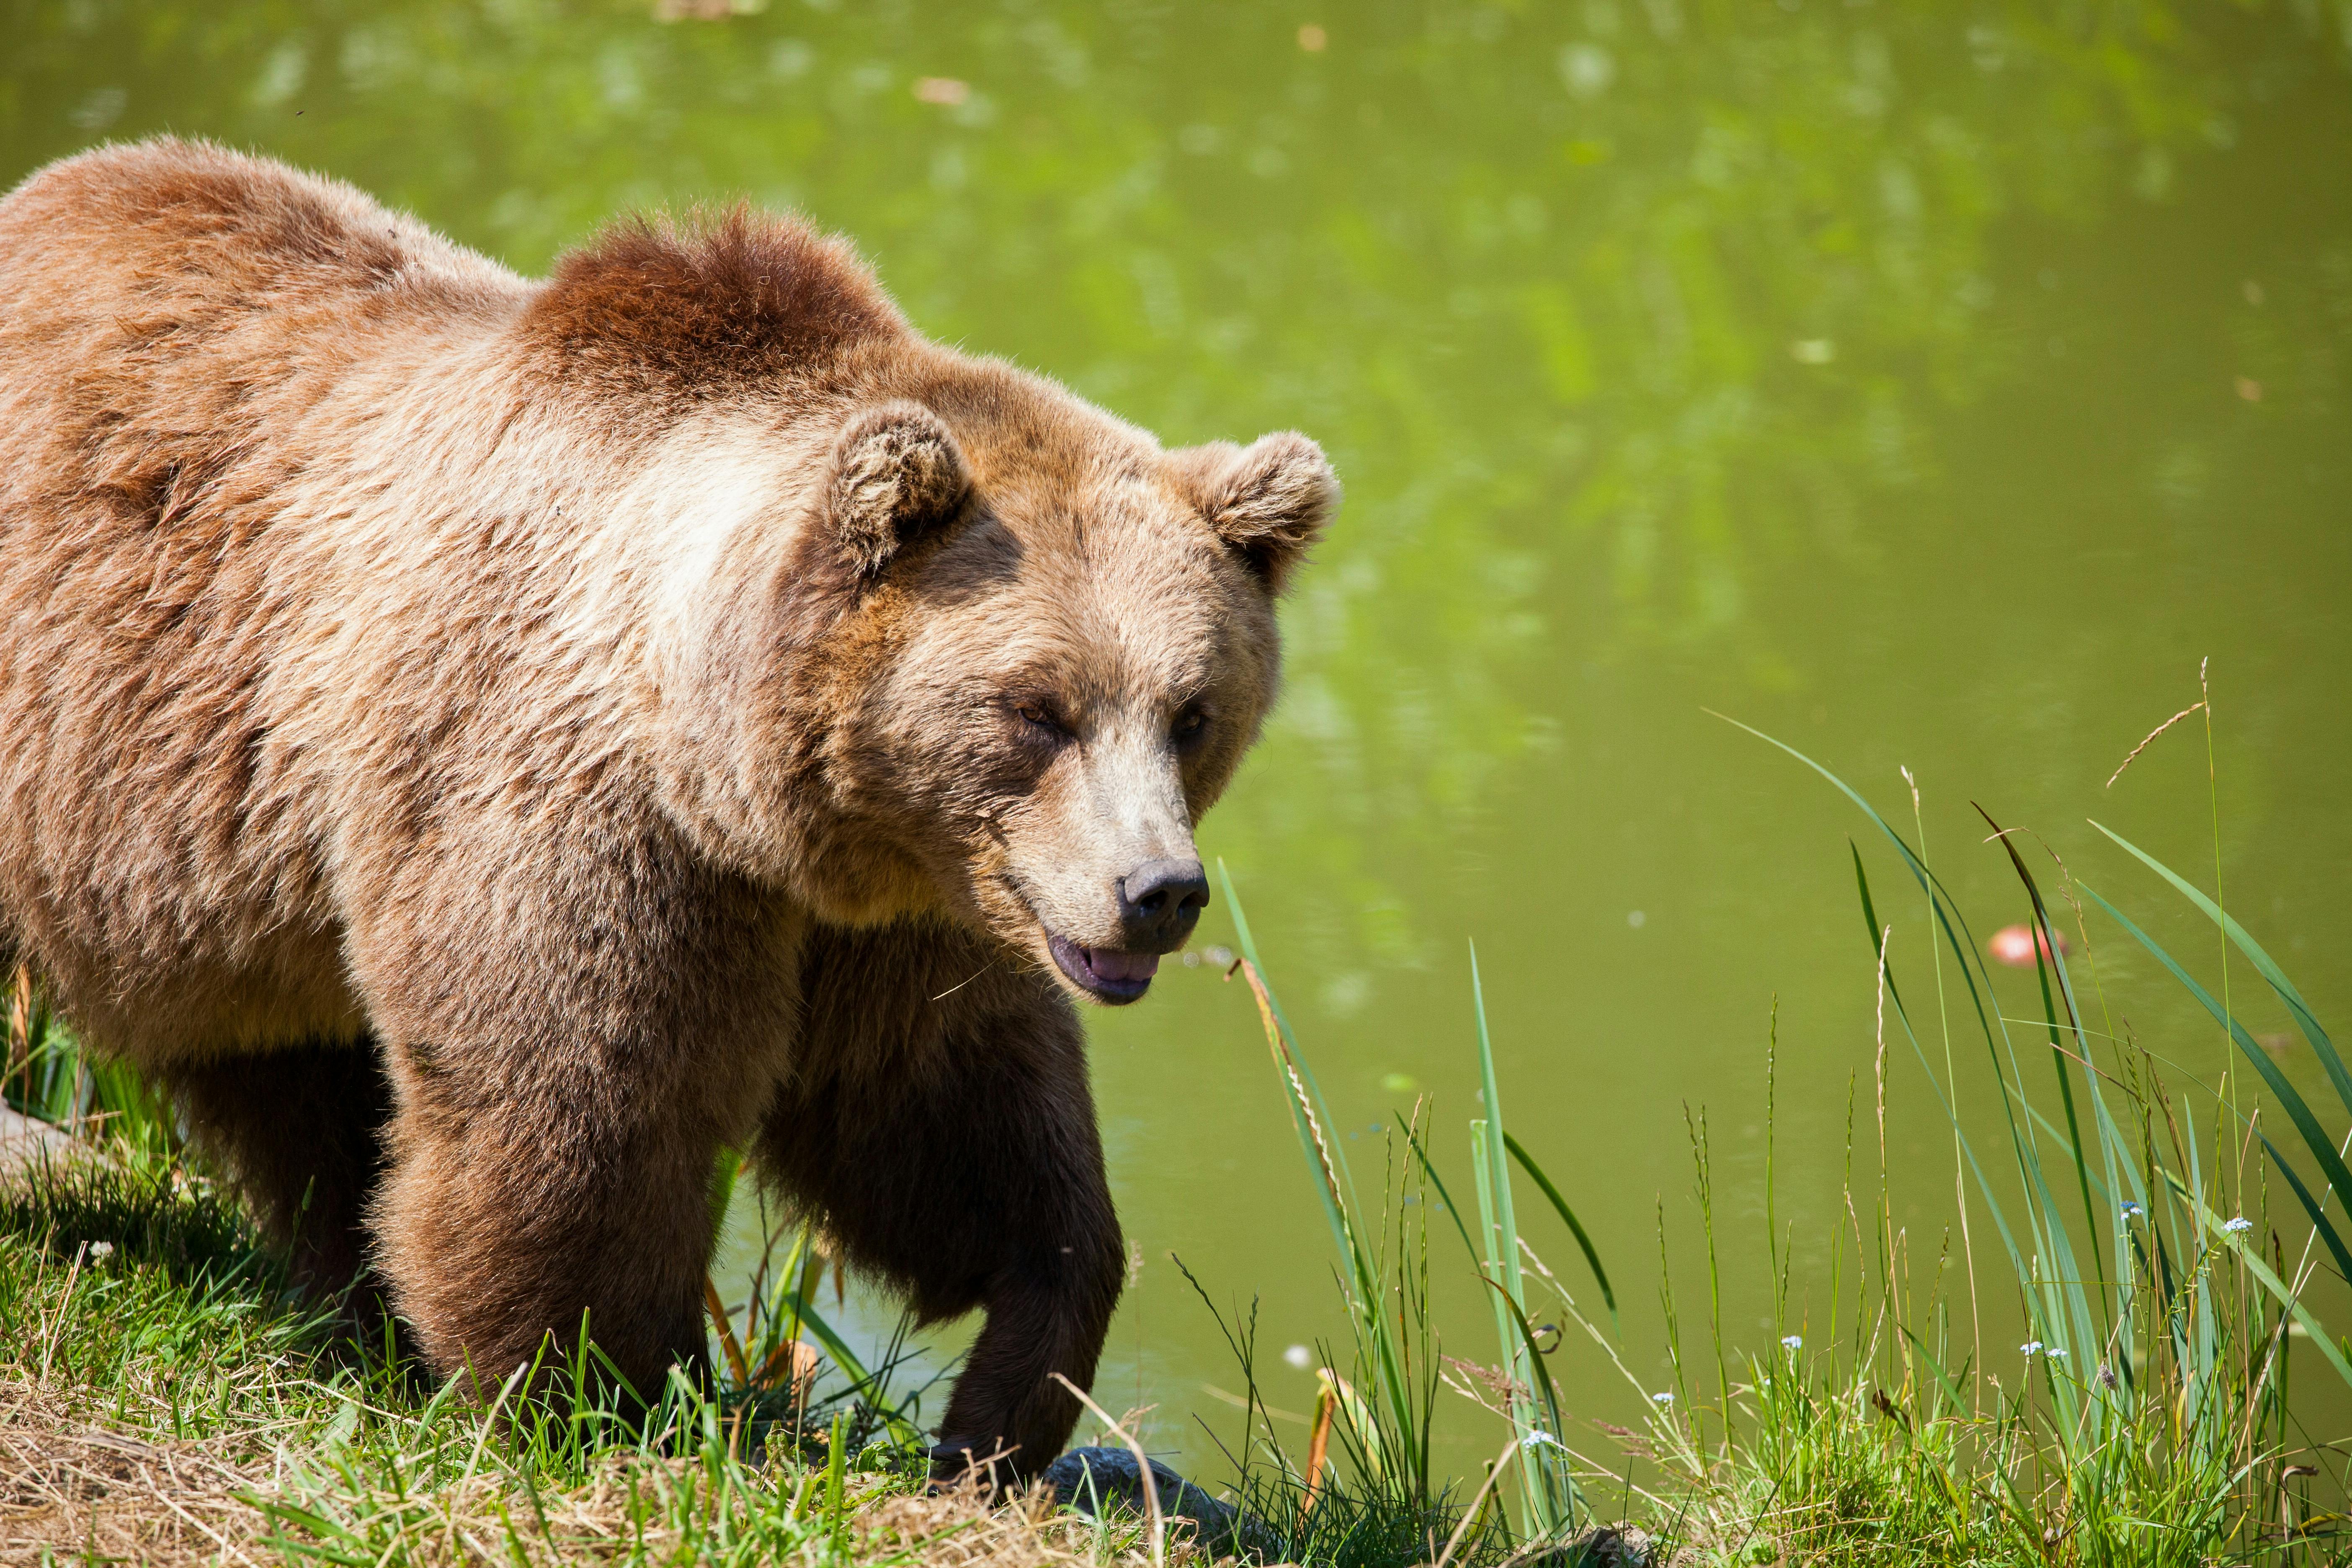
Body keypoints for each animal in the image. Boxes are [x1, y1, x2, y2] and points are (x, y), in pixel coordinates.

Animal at [0, 138, 1336, 1480]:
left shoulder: (902, 903)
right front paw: (607, 1397)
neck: (734, 773)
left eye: (1192, 711)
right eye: (1037, 709)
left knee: (288, 1075)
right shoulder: (569, 802)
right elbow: (579, 1108)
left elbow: (943, 1111)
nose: (1158, 891)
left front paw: (1006, 1396)